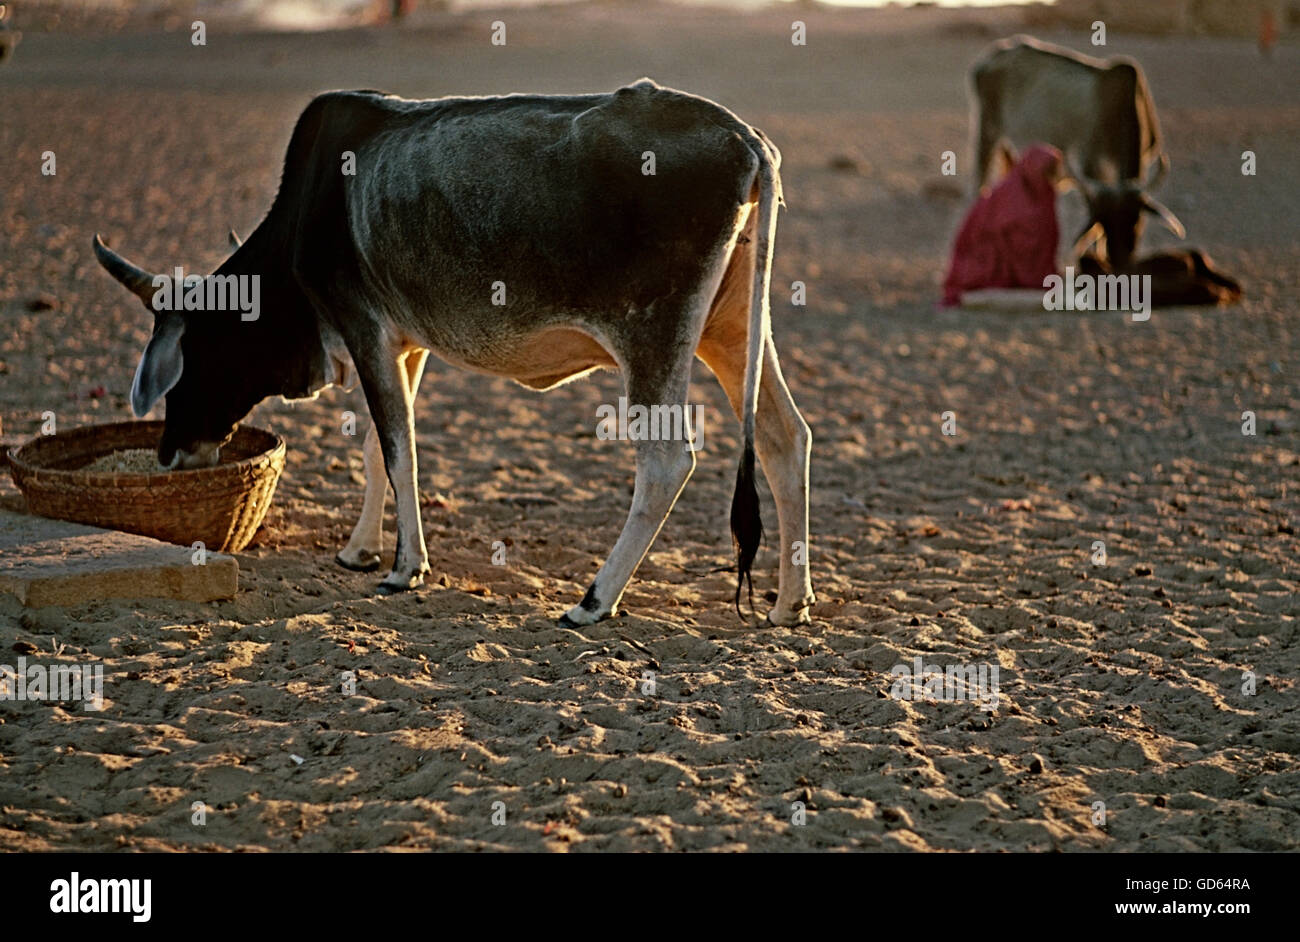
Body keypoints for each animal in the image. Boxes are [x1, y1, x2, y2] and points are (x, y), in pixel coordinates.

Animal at [92, 81, 816, 628]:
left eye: (189, 361)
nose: (168, 455)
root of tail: (744, 140)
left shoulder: (365, 328)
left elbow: (396, 448)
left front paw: (404, 568)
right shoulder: (404, 343)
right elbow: (379, 446)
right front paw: (360, 550)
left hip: (654, 341)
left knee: (667, 462)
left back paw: (593, 600)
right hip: (734, 330)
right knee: (786, 438)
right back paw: (789, 604)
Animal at [970, 35, 1184, 267]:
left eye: (1135, 220)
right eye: (1105, 223)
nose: (1120, 260)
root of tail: (991, 58)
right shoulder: (1090, 168)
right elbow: (1091, 227)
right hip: (988, 132)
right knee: (979, 183)